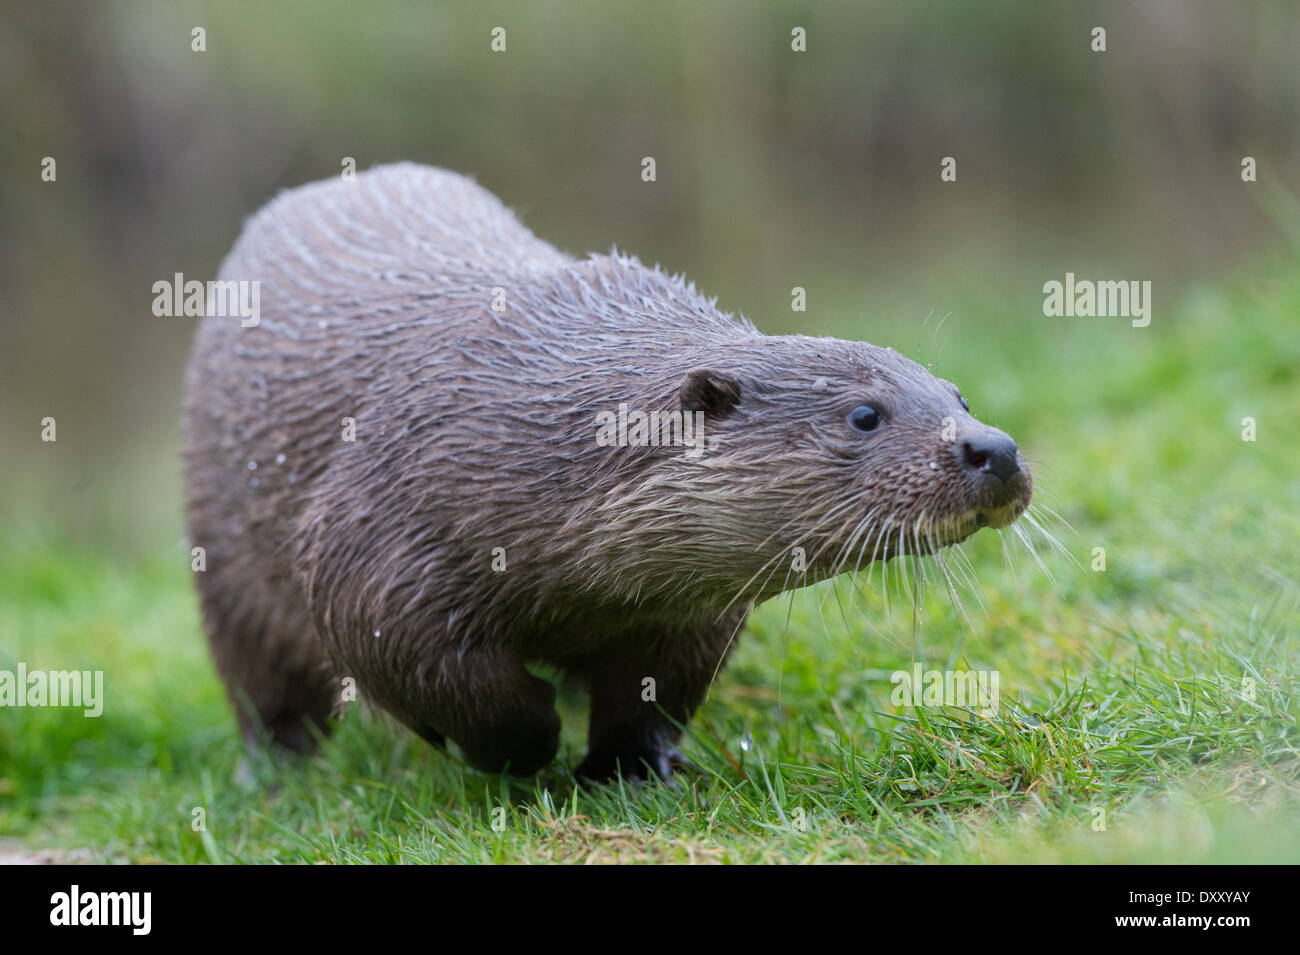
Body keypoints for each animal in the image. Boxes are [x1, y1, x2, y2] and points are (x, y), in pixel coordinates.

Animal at [182, 163, 1031, 781]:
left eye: (958, 395)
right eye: (863, 415)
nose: (994, 449)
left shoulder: (687, 611)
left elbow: (653, 694)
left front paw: (638, 769)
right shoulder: (371, 547)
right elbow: (448, 682)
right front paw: (520, 749)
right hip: (226, 566)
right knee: (260, 687)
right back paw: (275, 775)